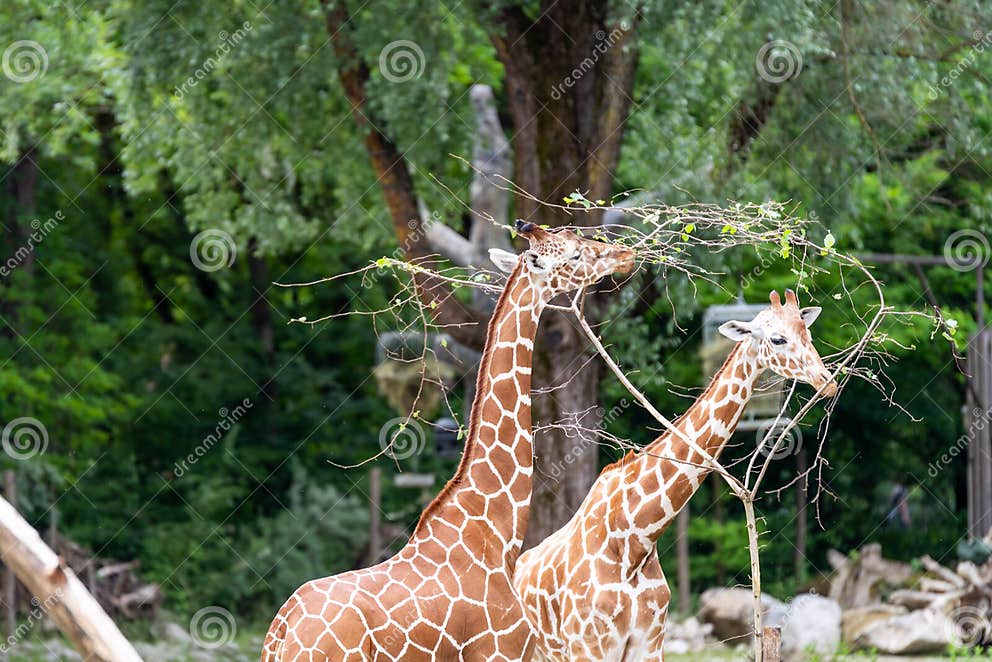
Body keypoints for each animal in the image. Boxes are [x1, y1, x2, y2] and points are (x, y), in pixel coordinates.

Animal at [514, 289, 837, 661]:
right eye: (777, 338)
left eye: (806, 331)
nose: (828, 382)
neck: (636, 539)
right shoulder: (589, 645)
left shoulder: (650, 643)